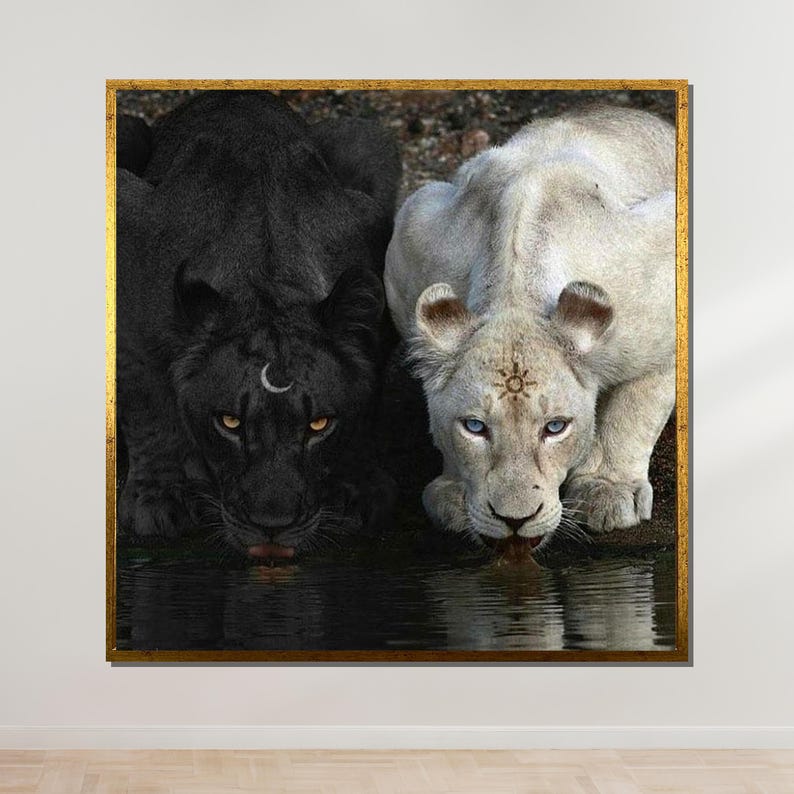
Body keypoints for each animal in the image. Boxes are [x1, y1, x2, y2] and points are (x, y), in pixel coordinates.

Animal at [384, 106, 676, 555]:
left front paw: (606, 491)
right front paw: (454, 494)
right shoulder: (413, 232)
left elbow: (636, 407)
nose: (515, 520)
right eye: (475, 426)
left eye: (555, 427)